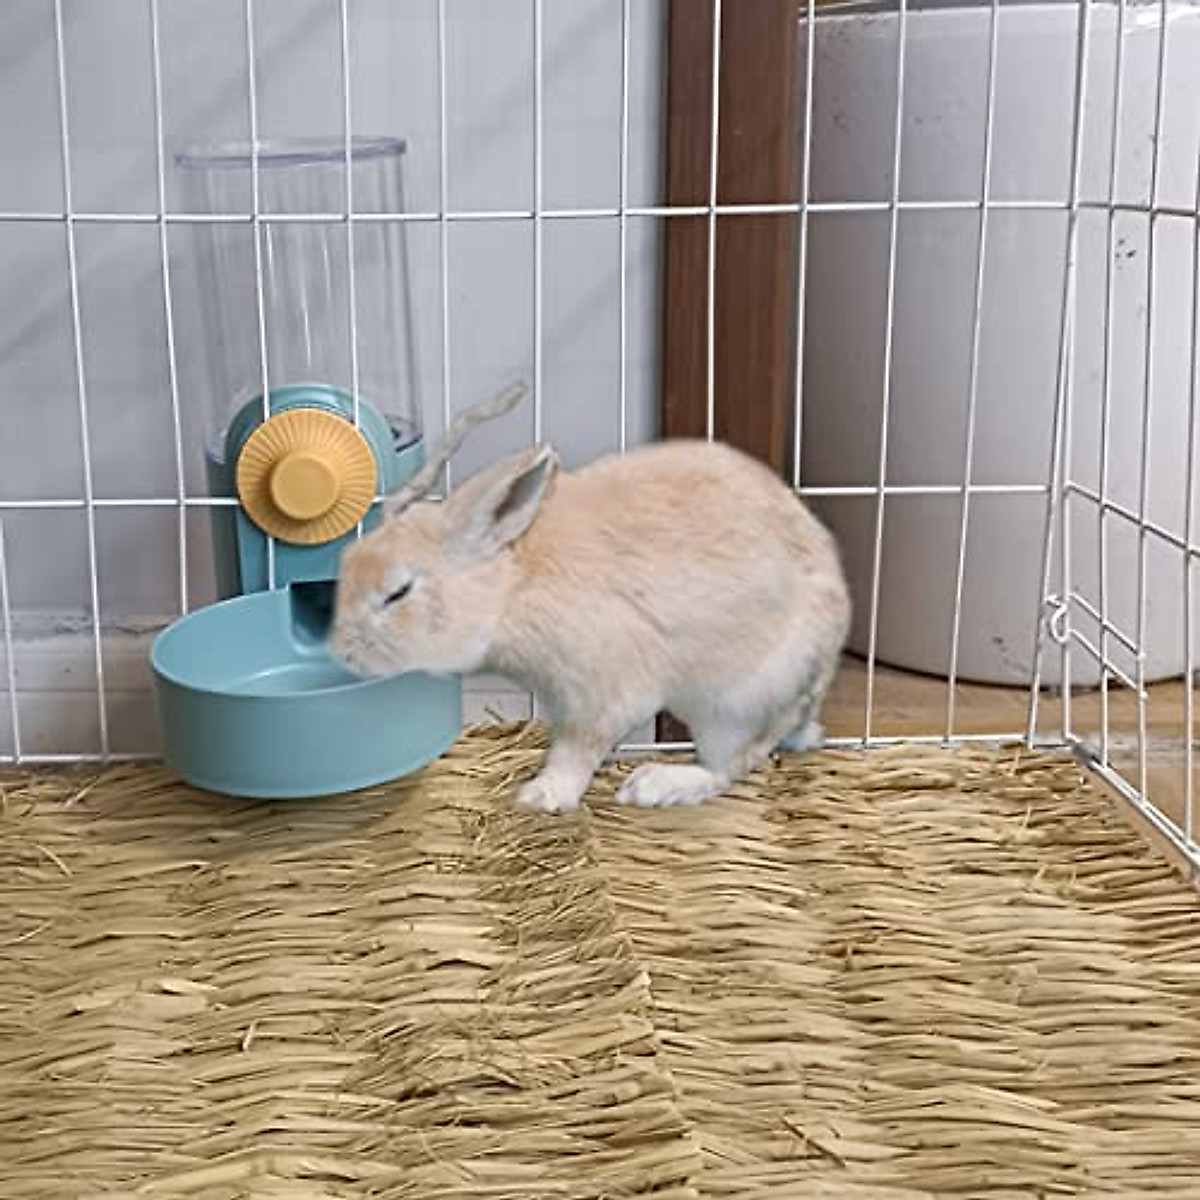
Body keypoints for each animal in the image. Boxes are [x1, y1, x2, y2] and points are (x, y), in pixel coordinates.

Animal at [331, 382, 851, 814]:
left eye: (397, 593)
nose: (341, 653)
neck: (511, 589)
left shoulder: (602, 692)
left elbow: (577, 749)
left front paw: (541, 796)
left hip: (733, 704)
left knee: (728, 767)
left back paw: (655, 786)